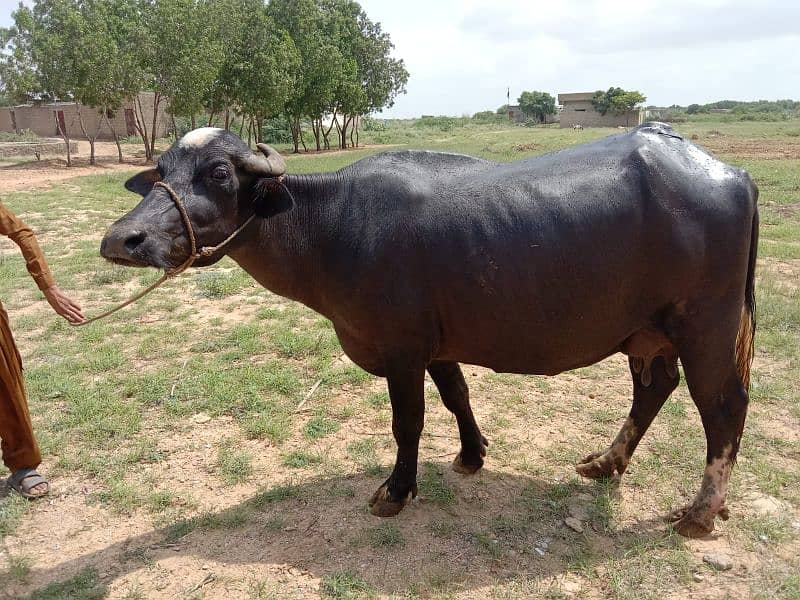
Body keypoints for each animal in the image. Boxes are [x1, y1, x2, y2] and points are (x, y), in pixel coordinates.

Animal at [100, 123, 759, 538]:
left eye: (217, 172)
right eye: (161, 171)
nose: (121, 239)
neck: (331, 226)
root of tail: (733, 174)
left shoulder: (401, 348)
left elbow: (408, 421)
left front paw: (396, 490)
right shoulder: (438, 347)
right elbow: (457, 396)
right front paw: (471, 454)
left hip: (706, 326)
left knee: (723, 406)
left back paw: (700, 512)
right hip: (647, 333)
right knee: (653, 389)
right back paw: (605, 462)